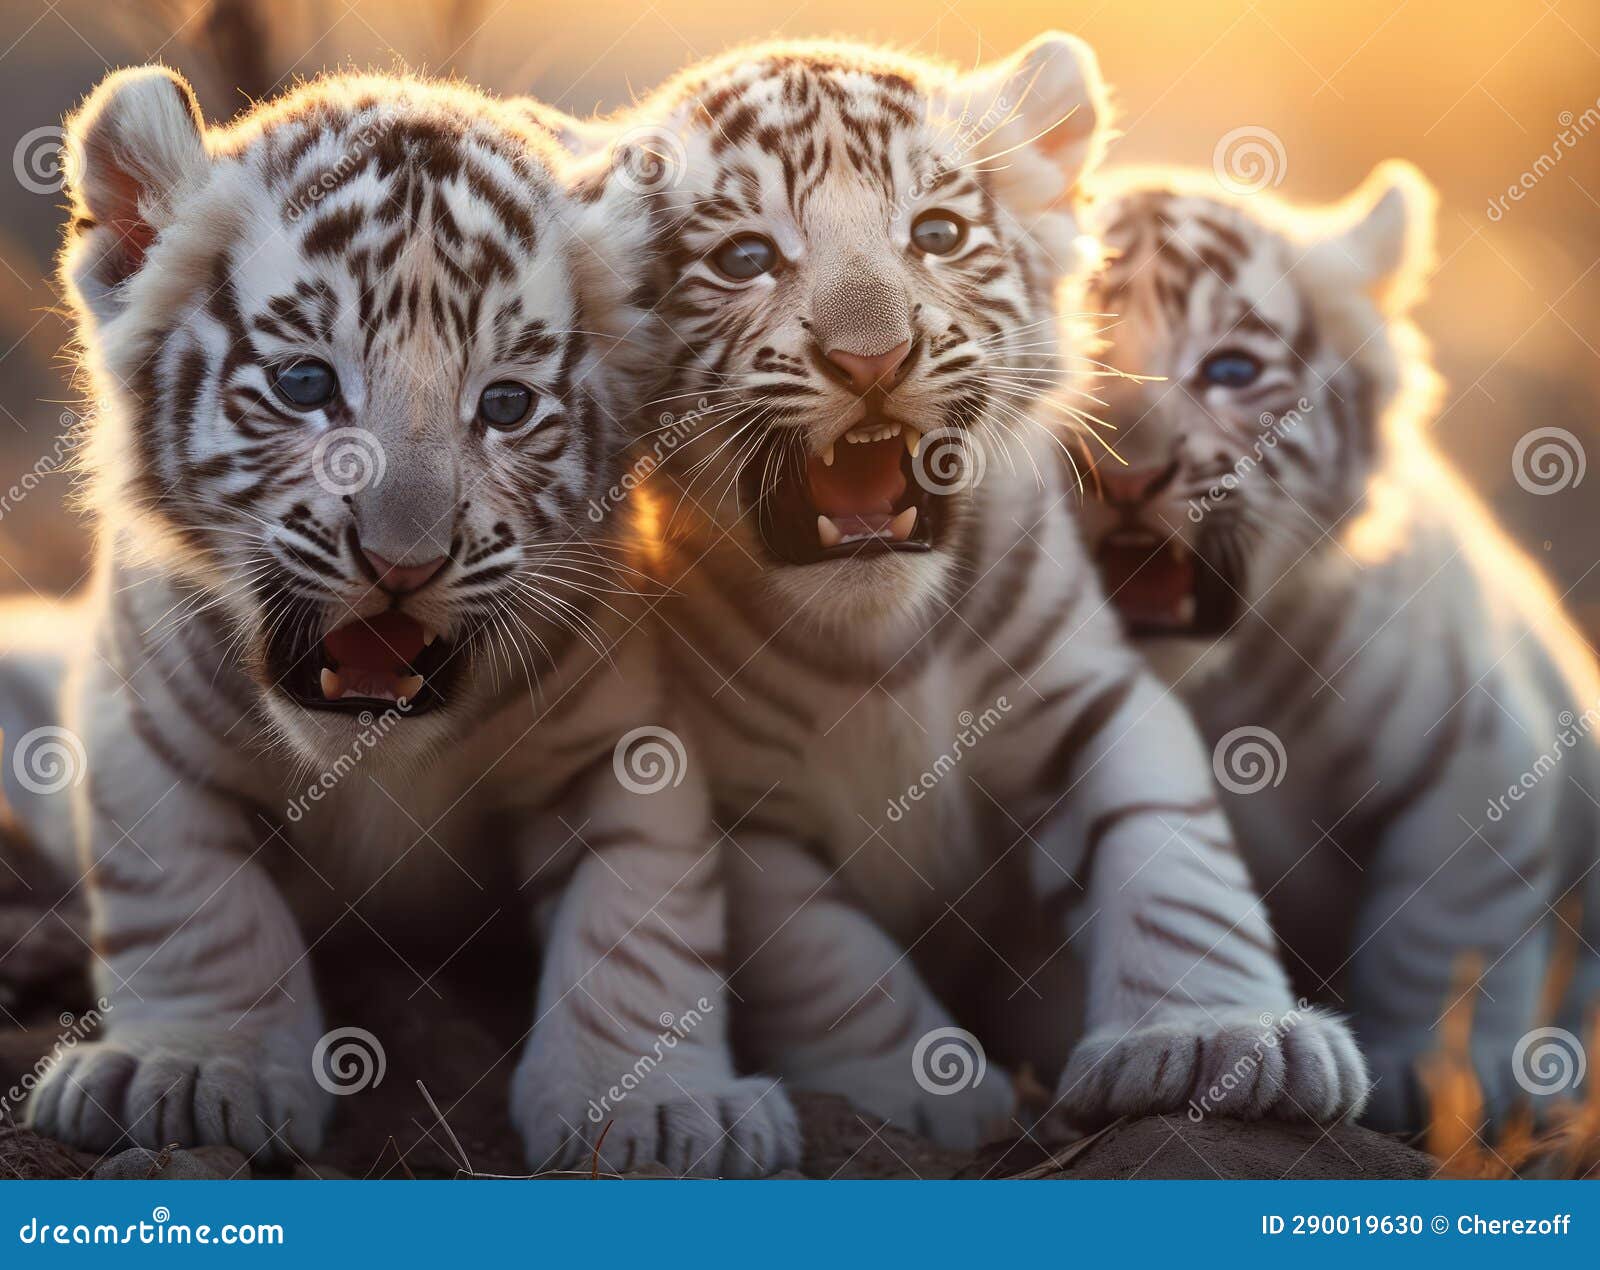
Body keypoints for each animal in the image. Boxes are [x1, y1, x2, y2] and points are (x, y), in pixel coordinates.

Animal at [0, 65, 800, 1176]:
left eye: (505, 405)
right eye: (303, 384)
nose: (403, 561)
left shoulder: (626, 740)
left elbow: (640, 921)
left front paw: (659, 1112)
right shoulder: (143, 719)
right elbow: (197, 908)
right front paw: (190, 1073)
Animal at [573, 35, 1372, 1147]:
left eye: (936, 235)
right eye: (743, 258)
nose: (872, 358)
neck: (880, 638)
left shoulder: (1096, 700)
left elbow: (1174, 865)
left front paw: (1221, 1038)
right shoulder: (740, 804)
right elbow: (828, 959)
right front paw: (924, 1093)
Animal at [1074, 160, 1600, 1131]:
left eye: (1230, 370)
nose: (1123, 475)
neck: (1213, 689)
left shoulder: (1479, 749)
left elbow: (1440, 933)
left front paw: (1422, 1078)